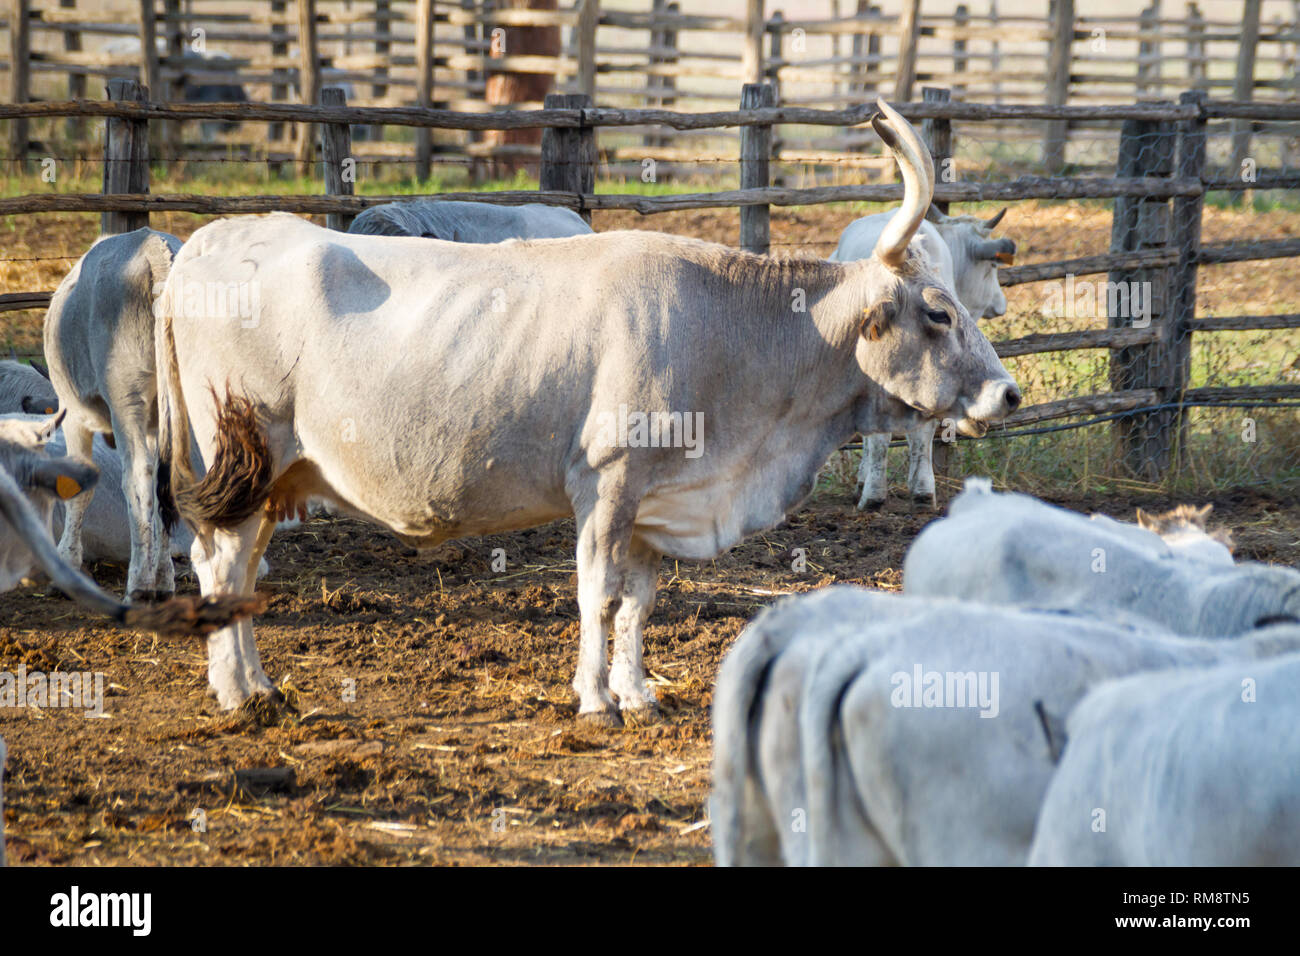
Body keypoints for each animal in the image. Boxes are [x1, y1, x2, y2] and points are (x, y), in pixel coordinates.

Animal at [44, 228, 183, 602]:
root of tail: (153, 248)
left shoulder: (73, 412)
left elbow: (78, 486)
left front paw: (66, 565)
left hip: (125, 395)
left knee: (136, 477)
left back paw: (139, 584)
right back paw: (162, 579)